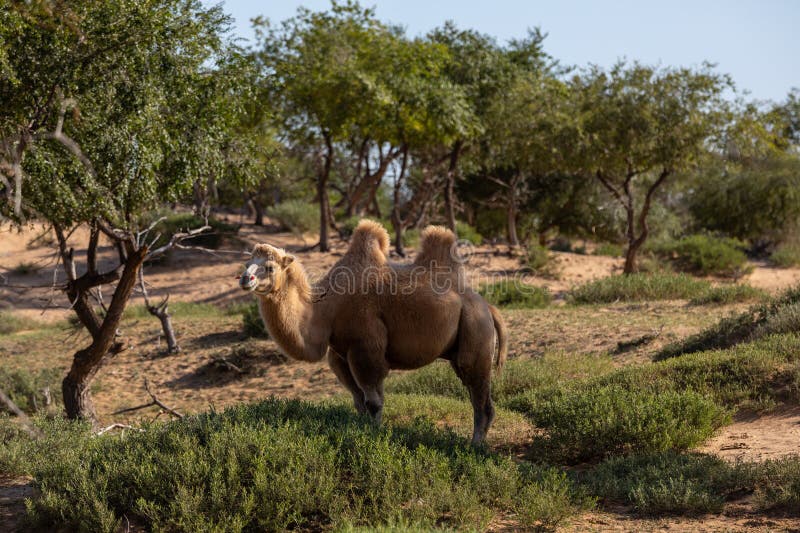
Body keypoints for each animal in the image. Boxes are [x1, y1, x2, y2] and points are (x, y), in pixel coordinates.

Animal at [238, 220, 507, 443]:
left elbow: (374, 403)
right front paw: (359, 431)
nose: (244, 279)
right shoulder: (339, 356)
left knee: (480, 396)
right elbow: (359, 402)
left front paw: (372, 437)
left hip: (476, 330)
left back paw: (475, 447)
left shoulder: (366, 350)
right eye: (247, 263)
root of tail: (488, 306)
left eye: (270, 267)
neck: (326, 309)